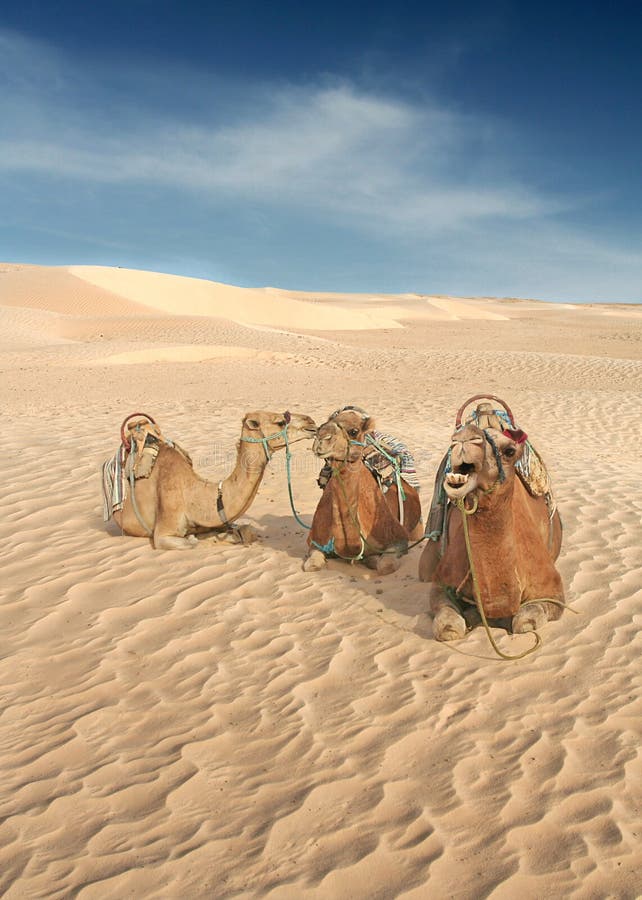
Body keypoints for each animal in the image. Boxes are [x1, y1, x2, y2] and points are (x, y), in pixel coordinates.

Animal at [108, 410, 317, 549]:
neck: (192, 494)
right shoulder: (163, 533)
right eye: (280, 422)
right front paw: (212, 538)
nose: (311, 422)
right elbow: (191, 542)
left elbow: (246, 532)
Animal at [304, 407, 423, 574]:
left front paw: (371, 560)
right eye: (321, 426)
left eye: (354, 431)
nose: (321, 439)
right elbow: (311, 565)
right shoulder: (315, 541)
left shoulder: (398, 539)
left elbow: (385, 566)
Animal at [419, 399, 564, 642]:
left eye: (509, 451)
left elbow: (525, 622)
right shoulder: (441, 584)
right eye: (452, 442)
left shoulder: (553, 591)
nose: (464, 439)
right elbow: (448, 627)